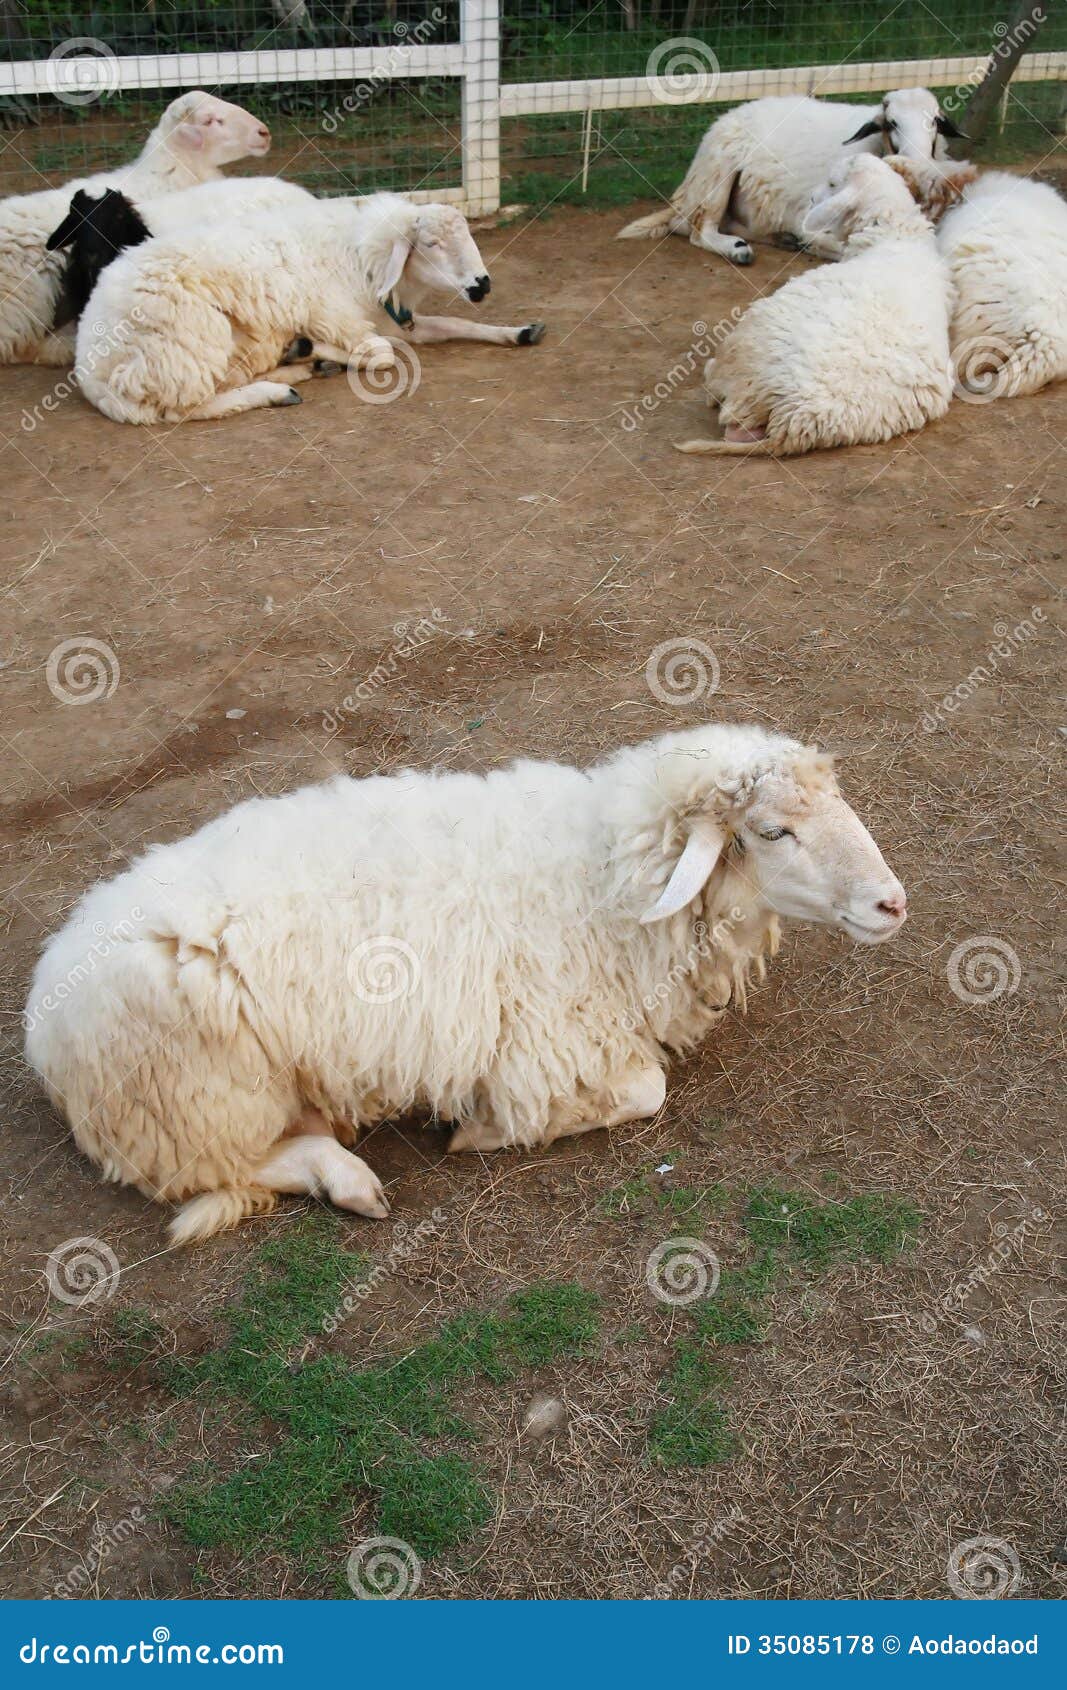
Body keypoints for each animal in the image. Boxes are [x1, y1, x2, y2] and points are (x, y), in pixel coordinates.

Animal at [24, 720, 907, 1244]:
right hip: (196, 1097)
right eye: (773, 831)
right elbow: (642, 1091)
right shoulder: (543, 1046)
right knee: (218, 1170)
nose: (891, 903)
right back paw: (345, 1177)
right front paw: (484, 1129)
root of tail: (42, 1011)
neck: (599, 876)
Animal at [75, 192, 547, 424]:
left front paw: (519, 331)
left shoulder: (391, 319)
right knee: (188, 406)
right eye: (430, 244)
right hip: (189, 344)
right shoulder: (340, 319)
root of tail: (88, 369)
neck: (361, 256)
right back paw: (283, 384)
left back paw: (295, 369)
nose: (482, 285)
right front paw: (317, 350)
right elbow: (381, 355)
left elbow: (453, 322)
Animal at [618, 87, 965, 264]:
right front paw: (813, 244)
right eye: (891, 122)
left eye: (935, 122)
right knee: (697, 230)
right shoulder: (811, 215)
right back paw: (738, 249)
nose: (917, 161)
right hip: (718, 171)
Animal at [675, 154, 974, 457]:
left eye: (832, 183)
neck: (893, 234)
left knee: (719, 391)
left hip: (747, 347)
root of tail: (794, 420)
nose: (810, 198)